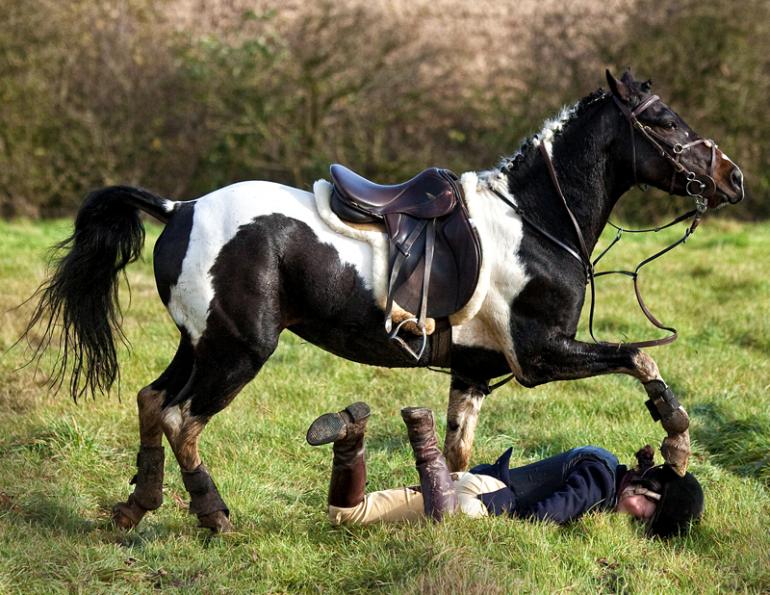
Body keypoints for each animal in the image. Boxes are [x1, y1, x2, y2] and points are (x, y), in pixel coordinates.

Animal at [24, 70, 744, 533]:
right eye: (663, 120)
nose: (732, 177)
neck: (537, 222)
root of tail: (180, 208)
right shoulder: (543, 355)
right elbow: (642, 360)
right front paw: (678, 445)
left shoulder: (474, 370)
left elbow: (456, 456)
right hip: (237, 350)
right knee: (182, 419)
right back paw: (214, 516)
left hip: (199, 343)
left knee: (152, 400)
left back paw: (135, 508)